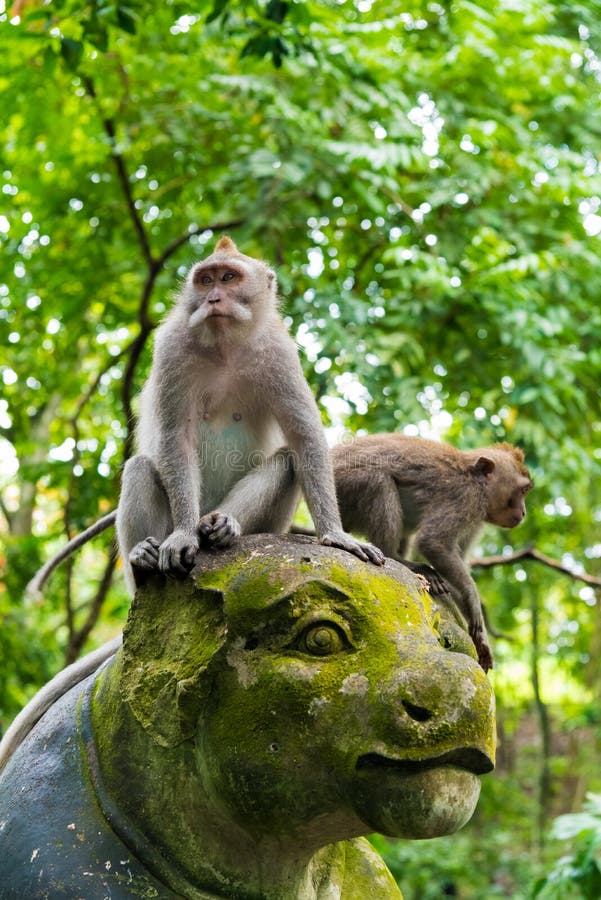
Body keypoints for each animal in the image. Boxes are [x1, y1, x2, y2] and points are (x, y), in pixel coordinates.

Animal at [27, 237, 383, 598]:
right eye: (205, 280)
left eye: (228, 278)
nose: (213, 298)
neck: (225, 346)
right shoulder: (171, 350)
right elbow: (175, 437)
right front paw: (184, 534)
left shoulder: (279, 354)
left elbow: (303, 435)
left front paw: (335, 535)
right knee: (139, 468)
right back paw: (143, 561)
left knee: (286, 461)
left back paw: (222, 525)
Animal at [331, 434, 533, 671]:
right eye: (522, 491)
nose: (523, 512)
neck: (476, 480)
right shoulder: (465, 498)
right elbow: (433, 542)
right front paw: (473, 597)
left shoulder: (476, 517)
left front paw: (481, 638)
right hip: (344, 486)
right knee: (377, 480)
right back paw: (397, 558)